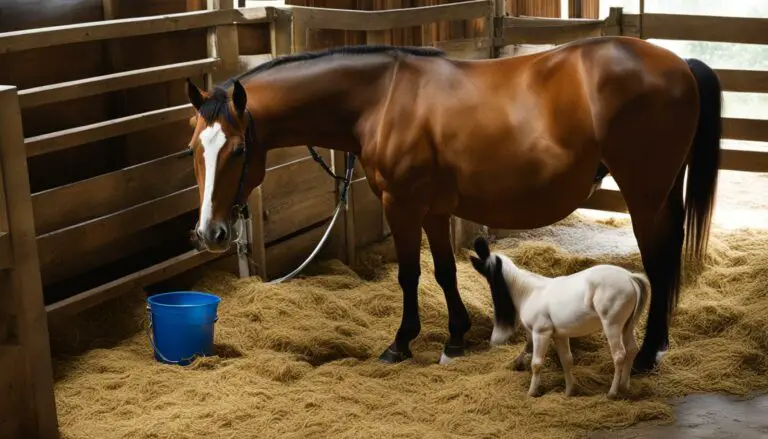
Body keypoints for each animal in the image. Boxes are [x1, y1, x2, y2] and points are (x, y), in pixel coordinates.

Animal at [183, 35, 722, 375]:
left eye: (236, 151)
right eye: (192, 147)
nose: (210, 233)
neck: (382, 98)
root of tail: (680, 64)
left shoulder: (401, 204)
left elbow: (409, 275)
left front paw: (401, 343)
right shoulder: (435, 208)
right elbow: (443, 270)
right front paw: (456, 337)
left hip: (644, 195)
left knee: (658, 261)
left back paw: (648, 354)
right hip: (660, 194)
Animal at [469, 236, 650, 398]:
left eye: (489, 275)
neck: (530, 291)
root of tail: (630, 277)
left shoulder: (540, 333)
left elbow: (536, 363)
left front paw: (532, 392)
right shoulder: (560, 336)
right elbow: (566, 360)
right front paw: (570, 391)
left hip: (612, 326)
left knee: (619, 355)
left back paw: (612, 392)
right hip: (627, 326)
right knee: (632, 349)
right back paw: (624, 386)